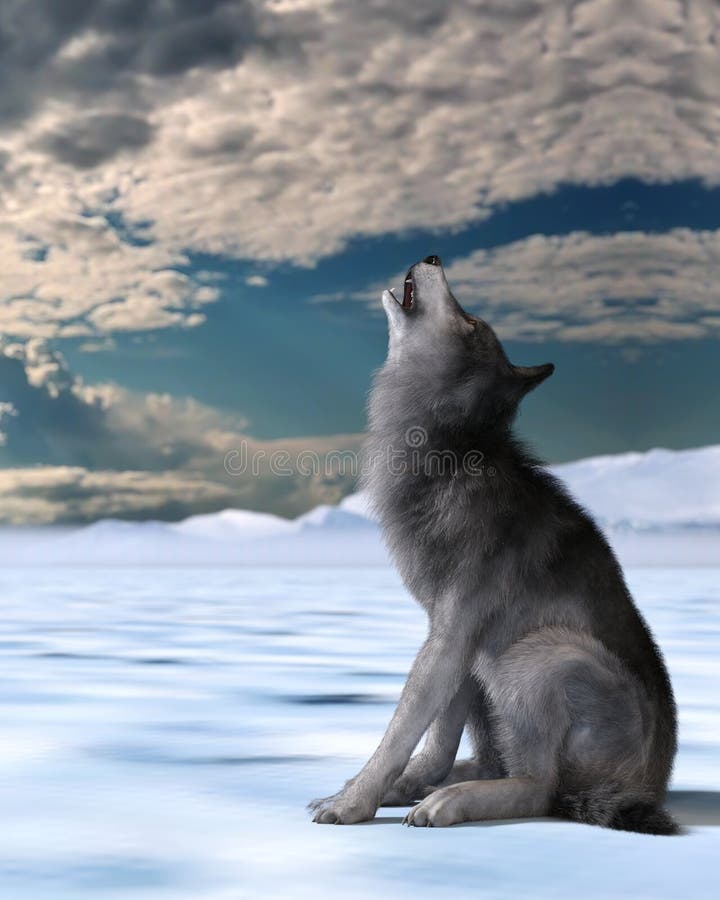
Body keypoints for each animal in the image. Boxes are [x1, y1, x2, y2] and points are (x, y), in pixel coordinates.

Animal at [310, 256, 678, 832]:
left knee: (538, 788)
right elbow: (436, 737)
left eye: (472, 323)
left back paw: (446, 801)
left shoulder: (453, 632)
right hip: (493, 672)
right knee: (489, 762)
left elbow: (401, 729)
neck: (447, 453)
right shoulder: (453, 635)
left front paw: (351, 804)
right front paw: (378, 787)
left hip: (533, 656)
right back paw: (429, 789)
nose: (434, 257)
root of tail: (648, 787)